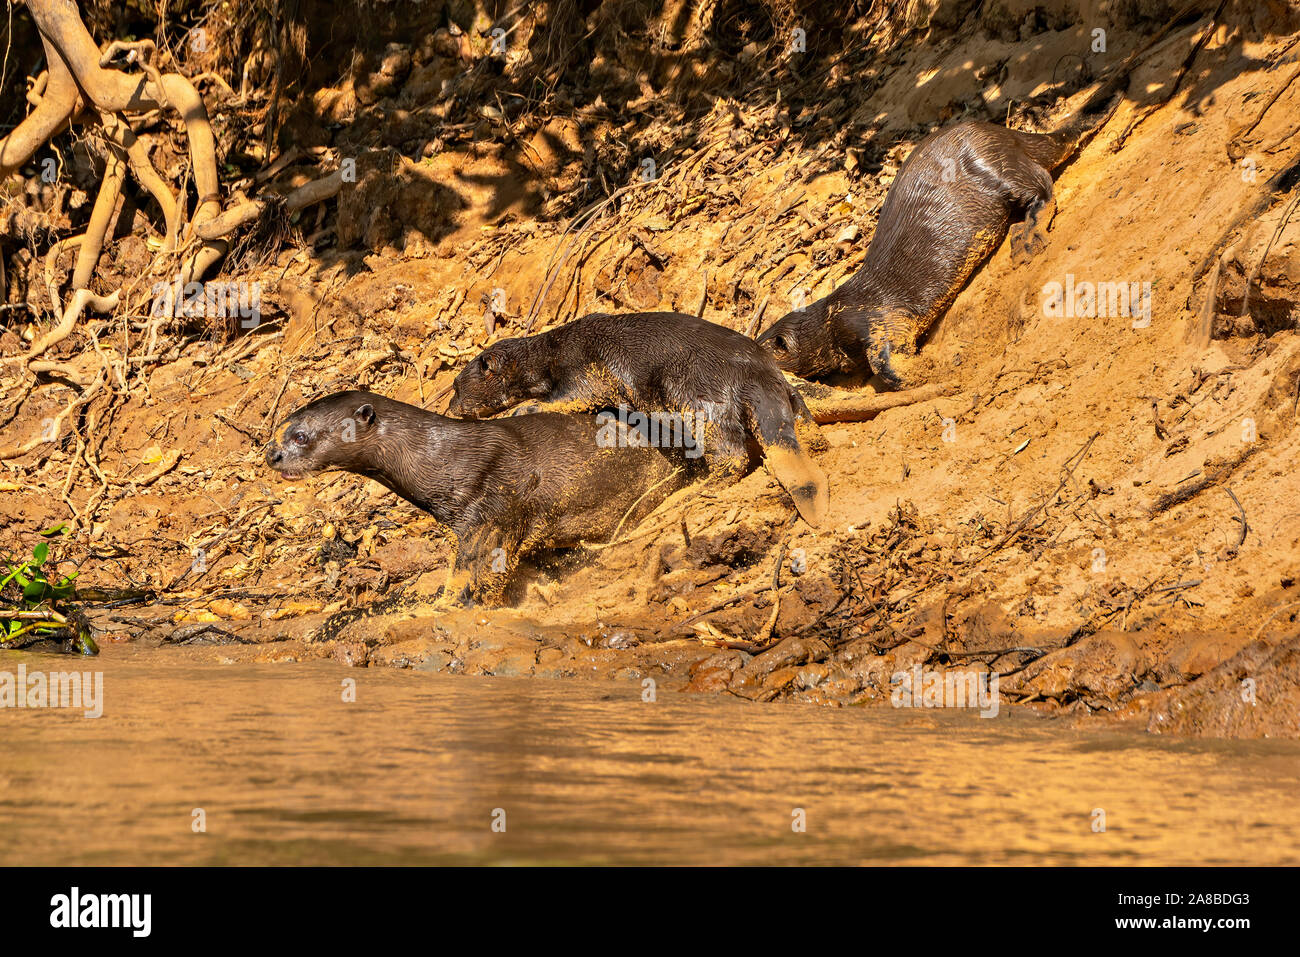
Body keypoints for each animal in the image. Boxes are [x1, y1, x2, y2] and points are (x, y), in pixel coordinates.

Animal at [265, 390, 689, 605]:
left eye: (301, 436)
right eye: (281, 429)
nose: (271, 455)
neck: (446, 460)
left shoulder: (492, 512)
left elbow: (483, 573)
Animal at [447, 311, 829, 526]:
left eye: (455, 386)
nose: (450, 407)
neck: (551, 354)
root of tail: (758, 373)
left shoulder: (584, 366)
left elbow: (575, 397)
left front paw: (524, 408)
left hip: (695, 394)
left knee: (731, 454)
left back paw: (699, 489)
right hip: (786, 396)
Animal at [758, 74, 1130, 387]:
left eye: (757, 348)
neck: (827, 321)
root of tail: (1004, 133)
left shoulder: (866, 317)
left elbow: (886, 355)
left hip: (994, 166)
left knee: (1042, 187)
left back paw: (1027, 237)